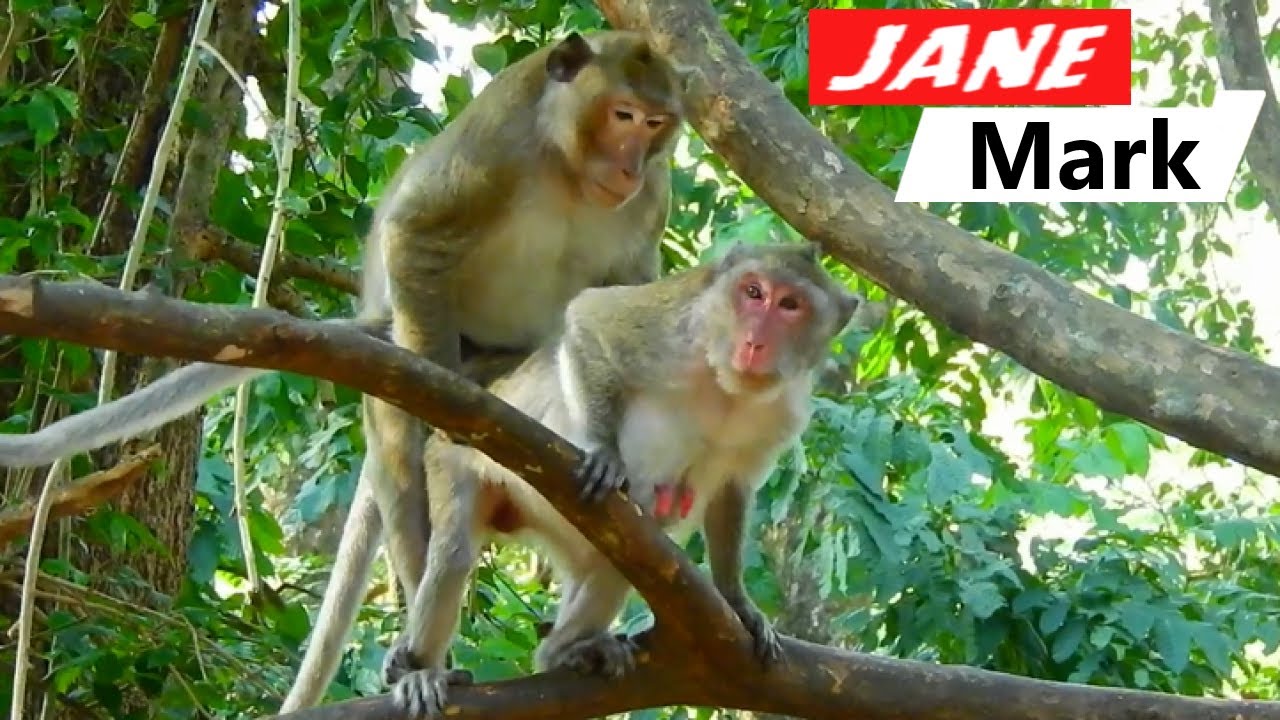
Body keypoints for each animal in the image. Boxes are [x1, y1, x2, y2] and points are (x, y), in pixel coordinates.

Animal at [0, 30, 686, 712]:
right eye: (622, 115)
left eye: (655, 124)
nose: (631, 164)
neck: (568, 168)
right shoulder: (498, 142)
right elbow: (418, 233)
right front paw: (449, 405)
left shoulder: (654, 199)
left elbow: (626, 303)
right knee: (402, 446)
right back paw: (421, 659)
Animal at [385, 241, 867, 718]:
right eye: (753, 292)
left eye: (790, 305)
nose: (755, 340)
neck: (726, 384)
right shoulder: (674, 330)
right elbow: (590, 318)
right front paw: (604, 451)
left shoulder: (783, 412)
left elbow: (732, 490)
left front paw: (736, 602)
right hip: (453, 458)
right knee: (454, 554)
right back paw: (420, 670)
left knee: (625, 553)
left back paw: (562, 650)